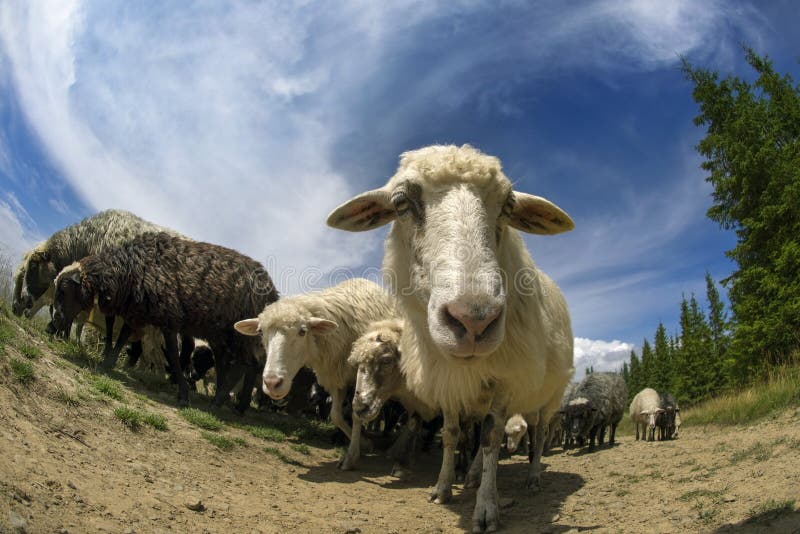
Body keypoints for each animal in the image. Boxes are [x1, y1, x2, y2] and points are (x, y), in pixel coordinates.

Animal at [51, 232, 278, 411]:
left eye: (63, 290)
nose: (53, 323)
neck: (127, 269)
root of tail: (272, 291)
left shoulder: (170, 317)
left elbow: (174, 356)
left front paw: (183, 394)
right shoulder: (138, 311)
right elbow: (123, 337)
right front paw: (106, 365)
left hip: (238, 332)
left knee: (245, 365)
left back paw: (220, 403)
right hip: (223, 335)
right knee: (236, 364)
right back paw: (228, 402)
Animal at [234, 278, 397, 467]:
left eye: (303, 331)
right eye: (260, 331)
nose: (272, 383)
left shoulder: (363, 375)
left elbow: (356, 412)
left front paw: (352, 454)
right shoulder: (335, 376)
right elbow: (336, 415)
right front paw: (364, 442)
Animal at [327, 144, 575, 532]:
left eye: (508, 206)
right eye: (401, 202)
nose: (474, 320)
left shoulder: (505, 379)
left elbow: (490, 439)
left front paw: (486, 508)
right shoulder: (448, 384)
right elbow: (452, 435)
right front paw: (443, 487)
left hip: (547, 397)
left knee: (536, 436)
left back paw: (532, 477)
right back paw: (471, 476)